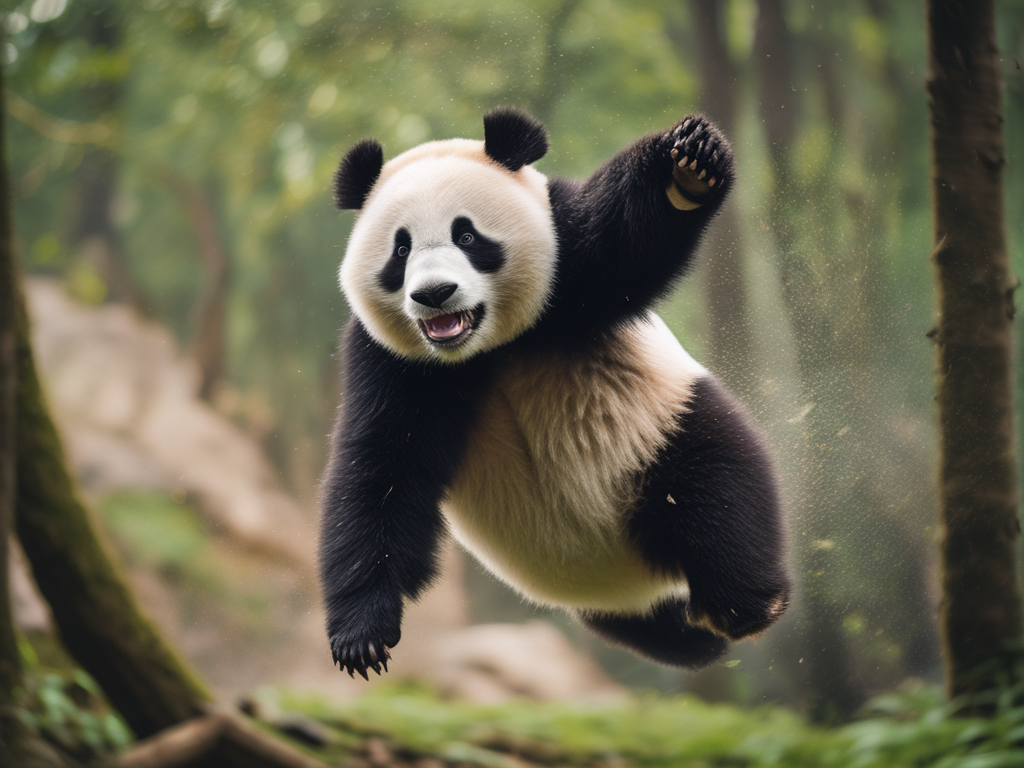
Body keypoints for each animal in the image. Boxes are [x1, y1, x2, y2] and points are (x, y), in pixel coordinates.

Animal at [319, 108, 790, 679]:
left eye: (467, 236)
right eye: (400, 249)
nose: (434, 295)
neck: (487, 349)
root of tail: (645, 578)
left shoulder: (565, 266)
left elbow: (623, 241)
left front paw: (689, 166)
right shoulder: (390, 361)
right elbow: (380, 468)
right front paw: (361, 637)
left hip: (662, 437)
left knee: (718, 494)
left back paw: (745, 605)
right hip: (614, 605)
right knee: (653, 625)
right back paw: (691, 636)